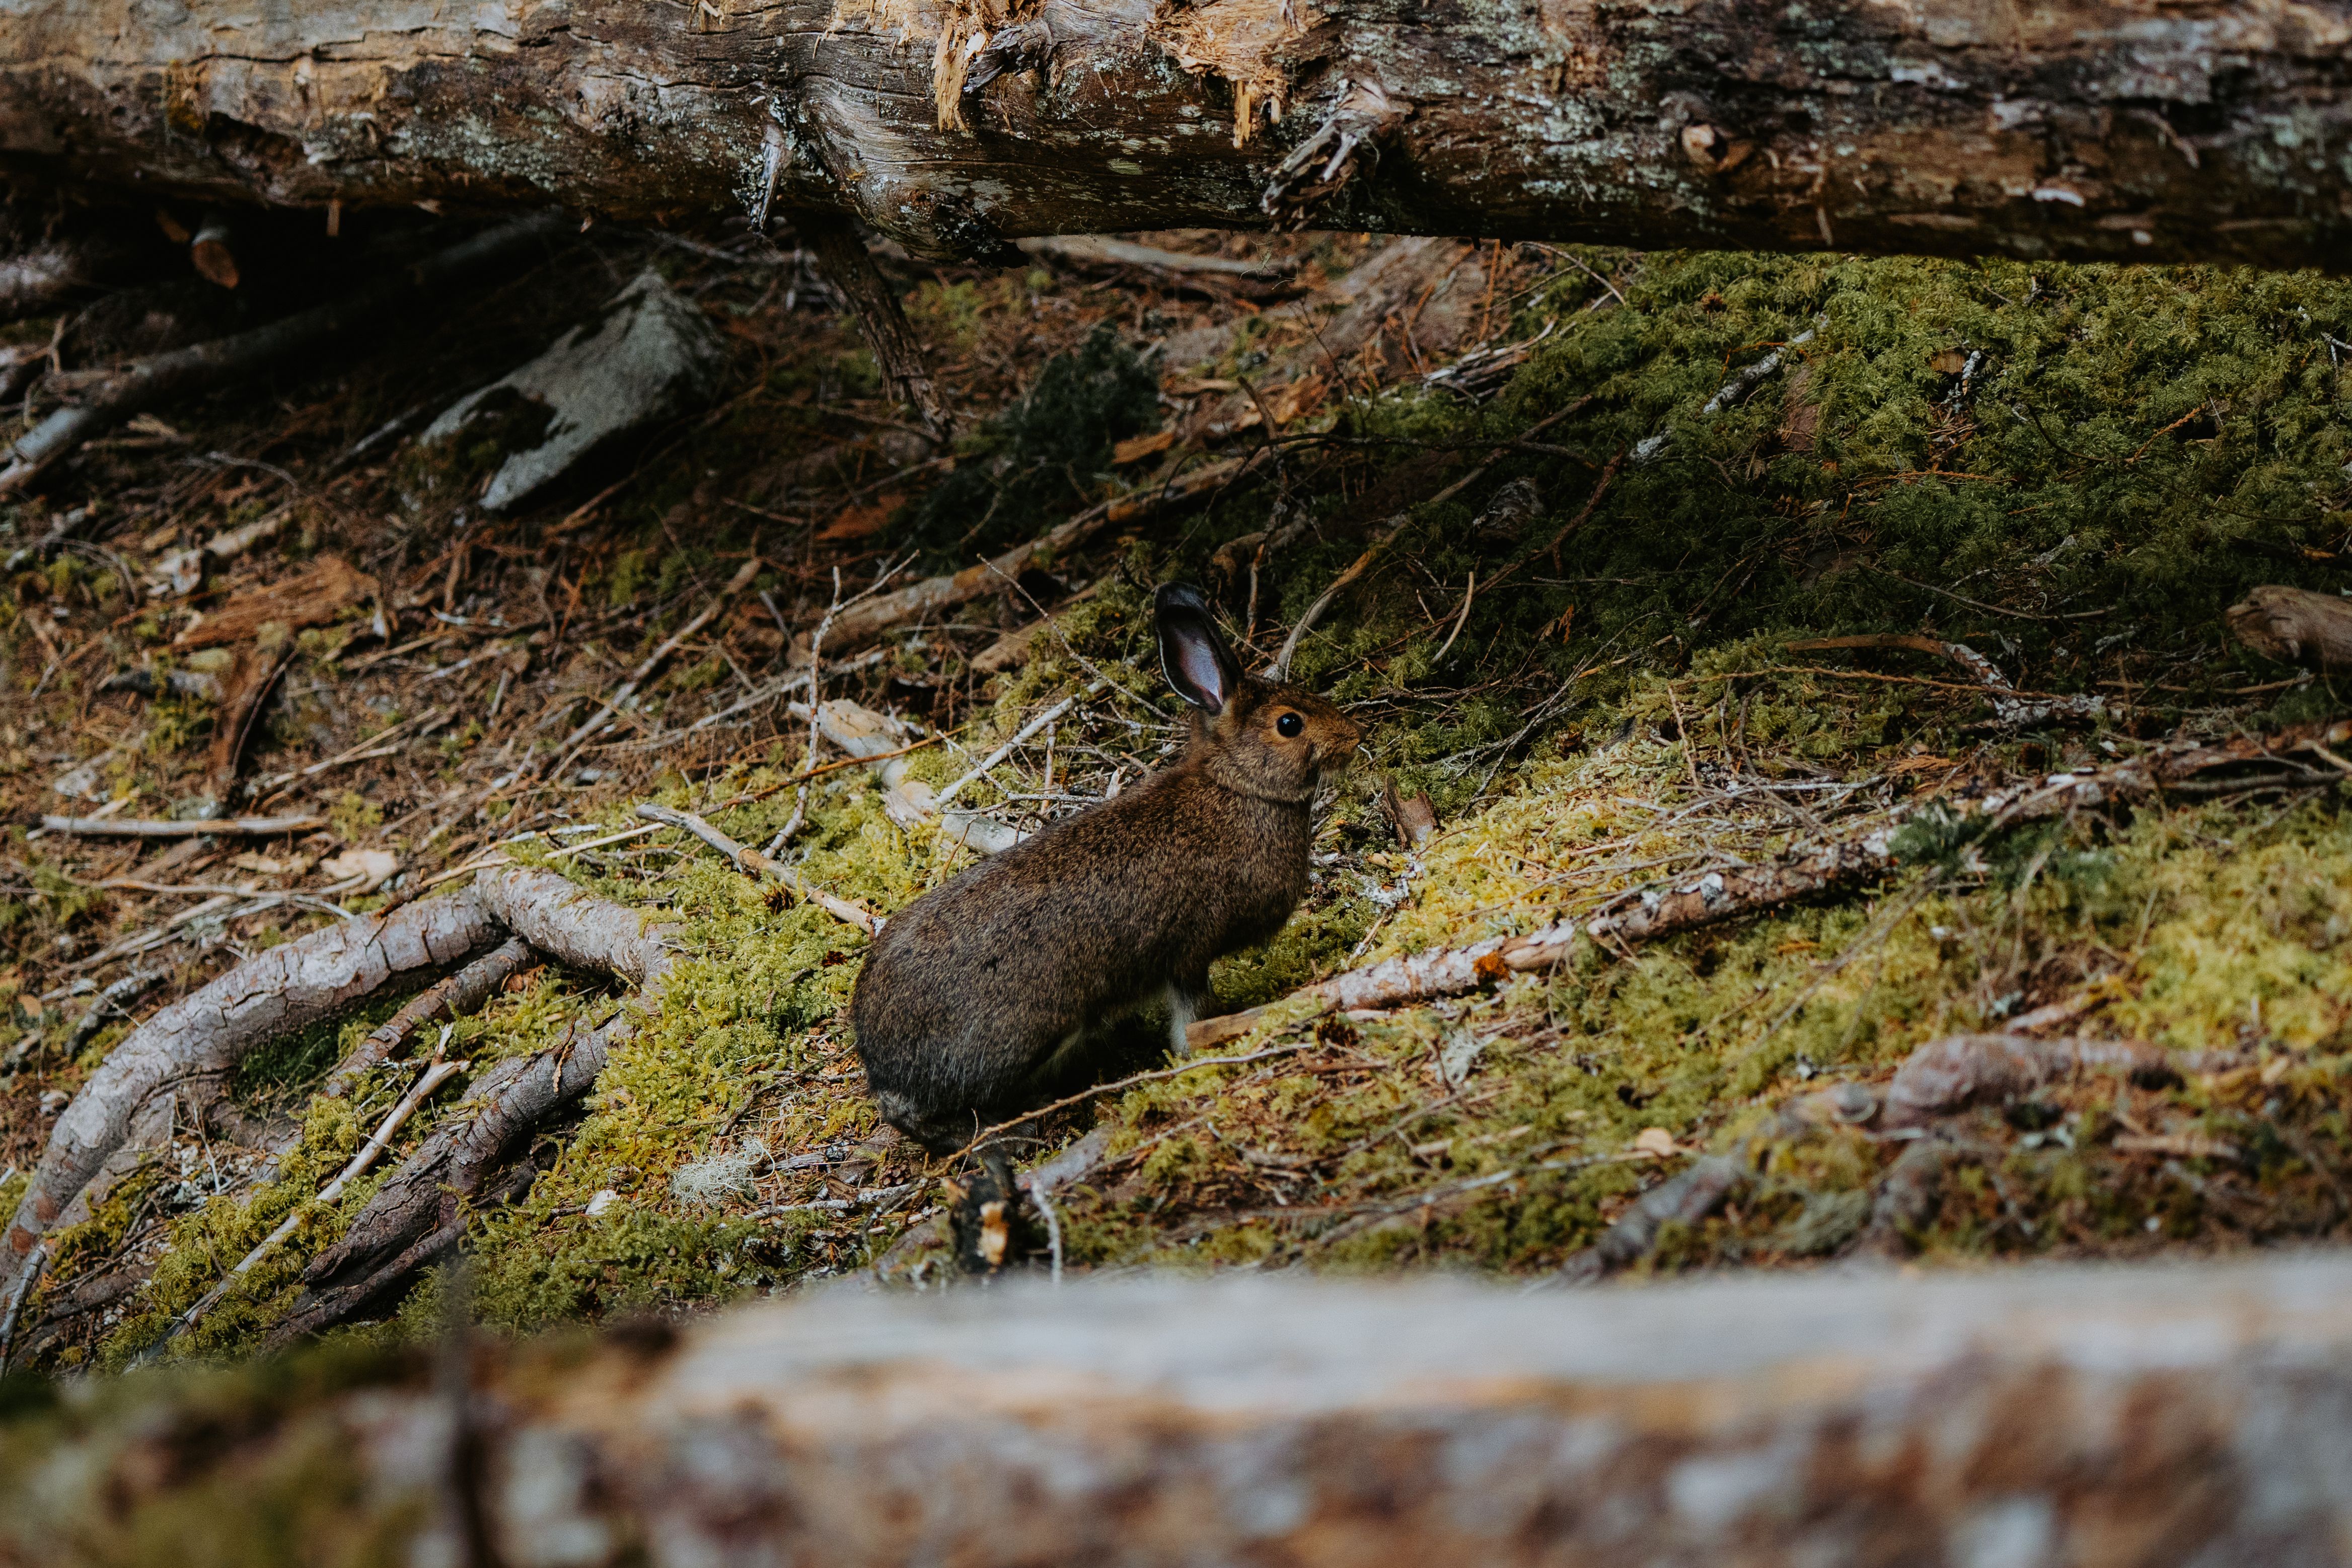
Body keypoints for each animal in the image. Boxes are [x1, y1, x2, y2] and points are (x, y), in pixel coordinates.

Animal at [852, 581, 1365, 1154]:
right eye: (1289, 723)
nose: (1355, 735)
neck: (1239, 786)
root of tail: (876, 1052)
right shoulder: (1189, 952)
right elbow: (1192, 1014)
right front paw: (1207, 1048)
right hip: (1014, 1042)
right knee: (913, 1112)